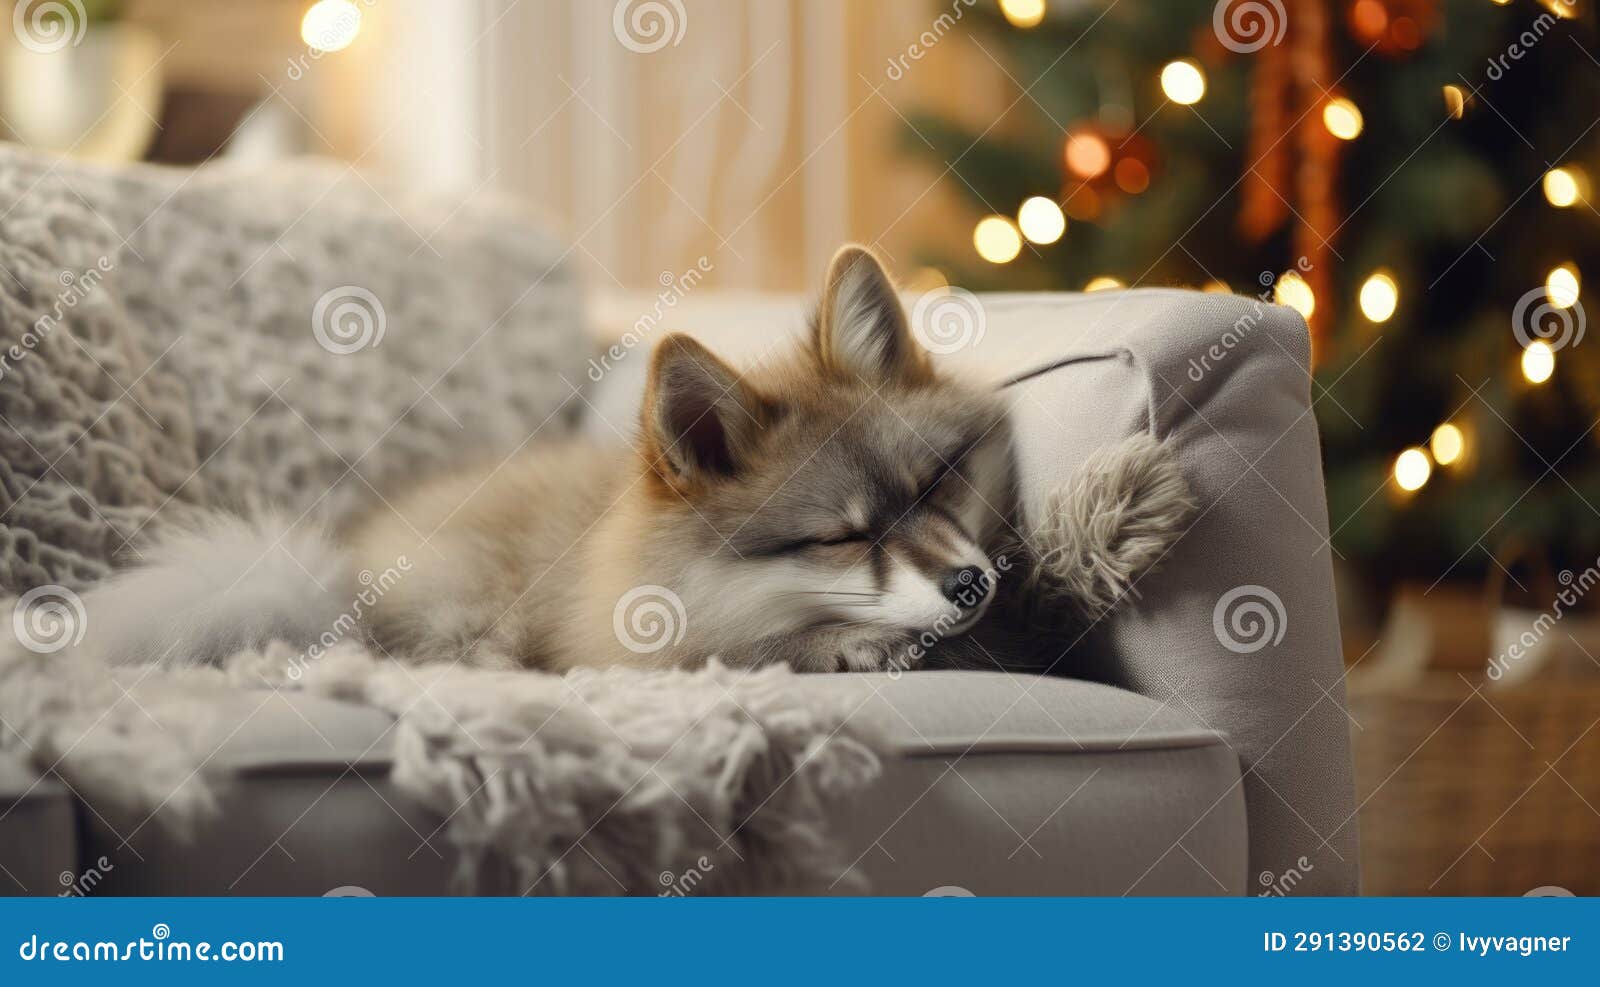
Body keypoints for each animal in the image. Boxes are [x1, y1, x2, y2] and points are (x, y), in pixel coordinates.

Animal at [74, 246, 1191, 675]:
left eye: (935, 482)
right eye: (840, 539)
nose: (964, 585)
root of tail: (335, 560)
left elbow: (1041, 584)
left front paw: (1111, 514)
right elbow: (786, 650)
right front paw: (850, 645)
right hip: (466, 606)